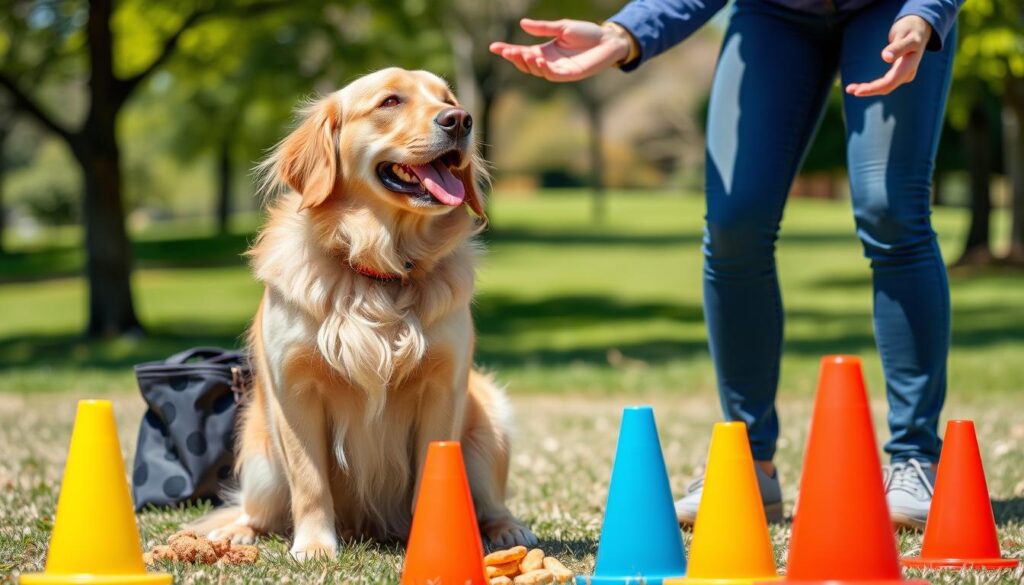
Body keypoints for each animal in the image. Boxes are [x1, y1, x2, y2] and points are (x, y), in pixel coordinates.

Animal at [195, 67, 540, 557]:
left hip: (490, 422)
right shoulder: (294, 389)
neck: (380, 269)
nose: (461, 120)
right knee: (256, 510)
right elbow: (310, 481)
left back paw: (507, 529)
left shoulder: (443, 386)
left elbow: (433, 476)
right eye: (390, 101)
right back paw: (238, 530)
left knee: (492, 501)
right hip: (259, 456)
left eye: (448, 99)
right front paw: (315, 546)